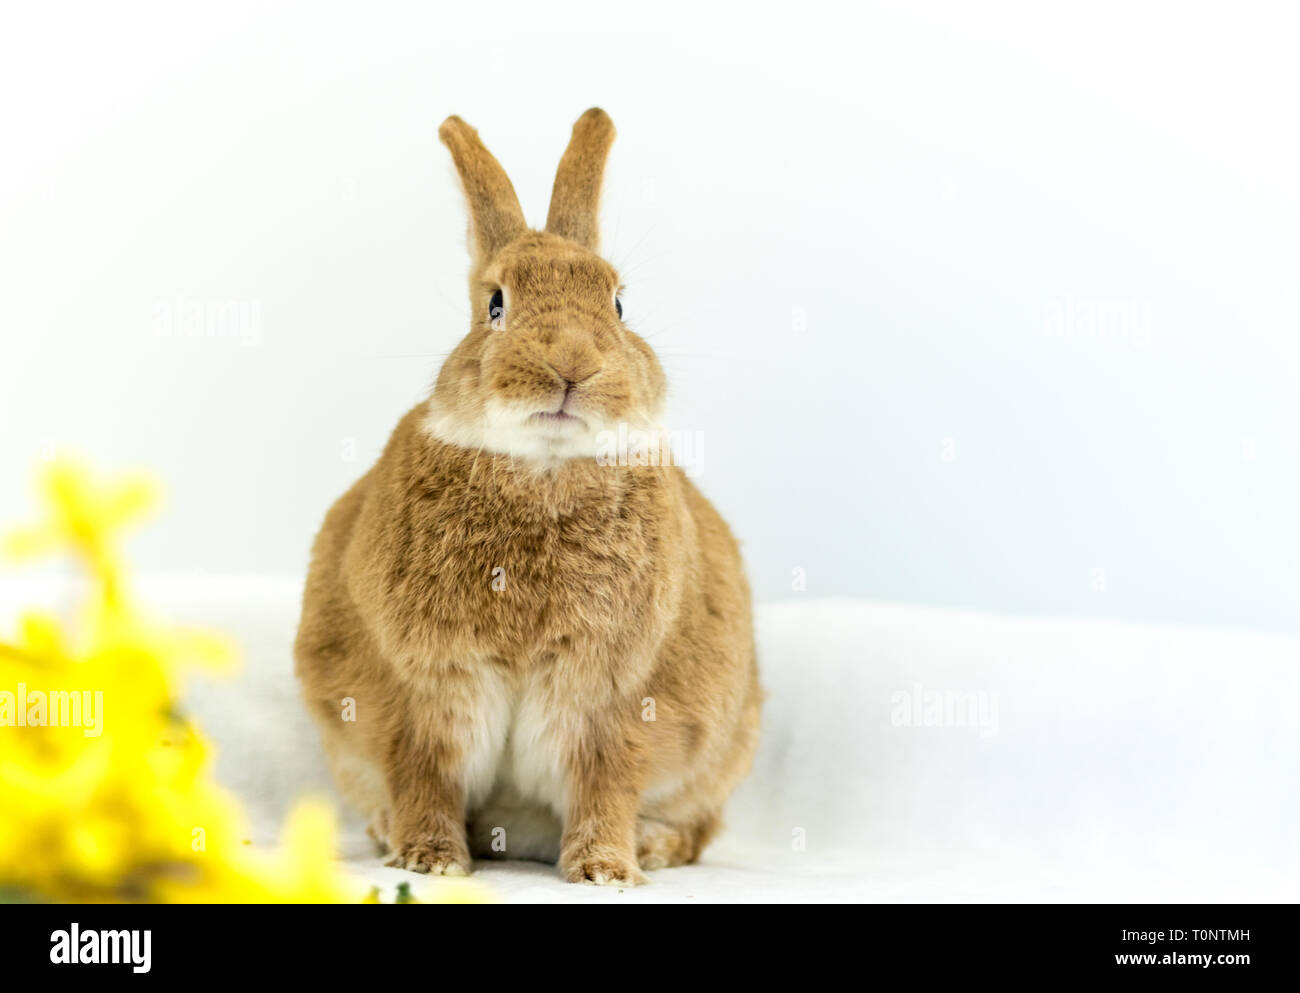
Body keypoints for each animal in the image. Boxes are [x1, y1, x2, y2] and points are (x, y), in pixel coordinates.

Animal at [294, 108, 761, 886]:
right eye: (495, 303)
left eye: (618, 303)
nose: (572, 362)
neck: (542, 469)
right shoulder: (422, 693)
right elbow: (423, 775)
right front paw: (430, 861)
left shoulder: (614, 701)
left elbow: (608, 785)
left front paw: (605, 870)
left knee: (699, 826)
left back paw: (653, 847)